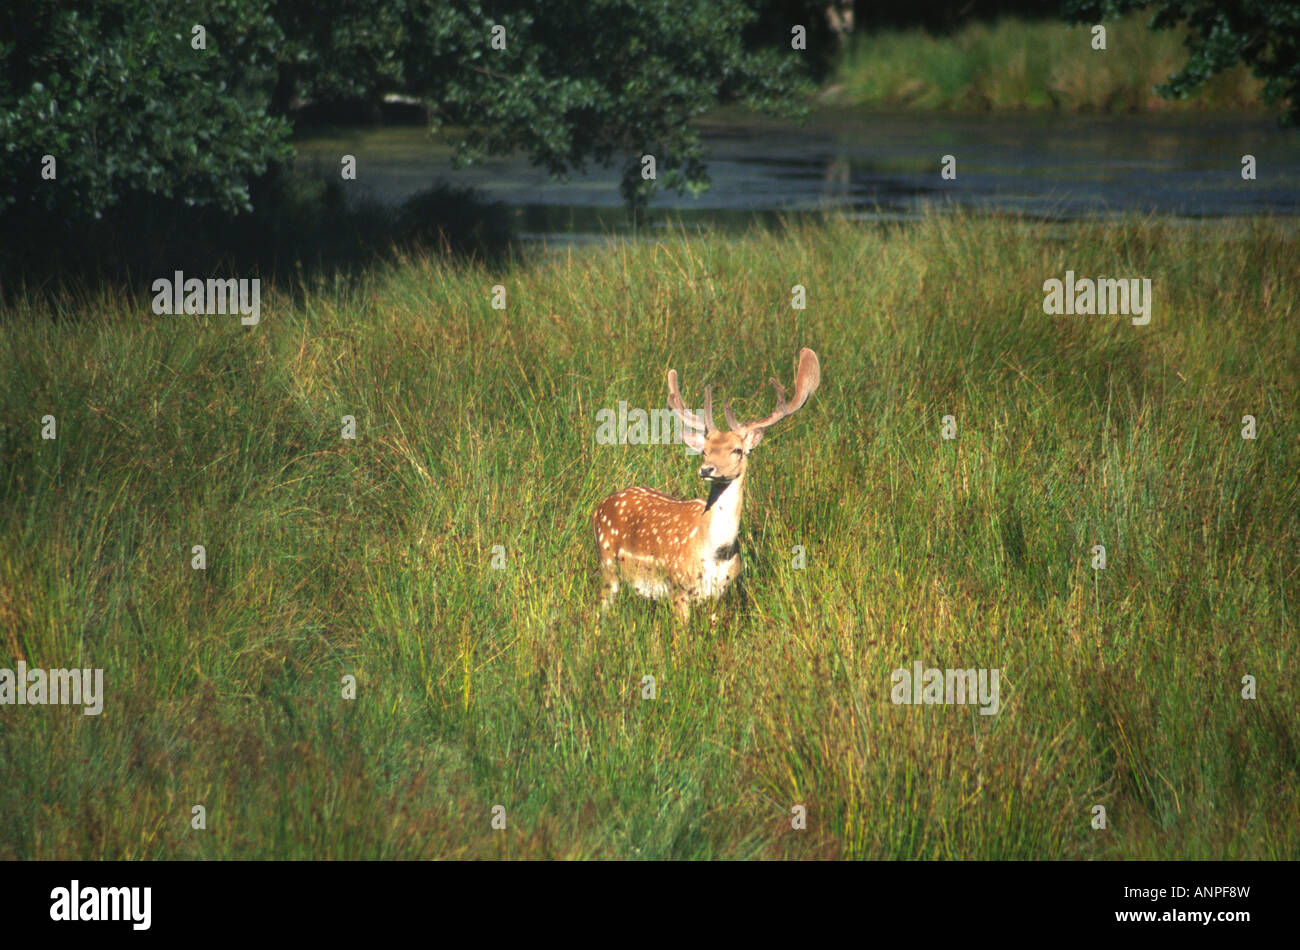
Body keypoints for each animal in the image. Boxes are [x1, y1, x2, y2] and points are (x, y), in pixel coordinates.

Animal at [593, 348, 821, 622]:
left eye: (737, 450)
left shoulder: (721, 593)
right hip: (607, 564)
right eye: (705, 450)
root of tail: (600, 506)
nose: (706, 469)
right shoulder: (677, 585)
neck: (716, 552)